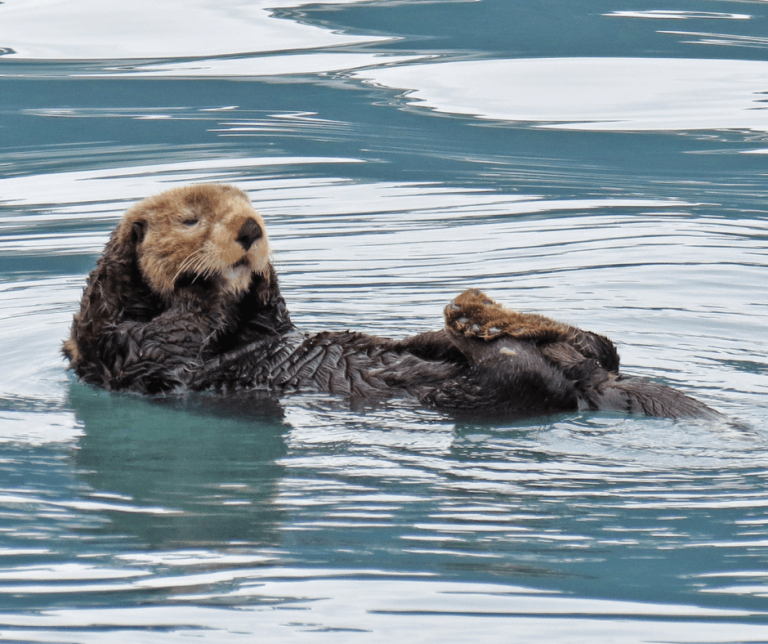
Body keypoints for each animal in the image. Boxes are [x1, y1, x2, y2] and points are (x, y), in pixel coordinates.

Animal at [64, 183, 724, 421]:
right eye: (191, 218)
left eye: (250, 205)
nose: (251, 228)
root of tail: (590, 384)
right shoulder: (122, 348)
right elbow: (172, 333)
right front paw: (207, 280)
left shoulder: (263, 327)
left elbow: (272, 318)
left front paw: (260, 272)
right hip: (478, 395)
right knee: (528, 368)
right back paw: (472, 321)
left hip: (554, 361)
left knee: (595, 343)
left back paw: (474, 313)